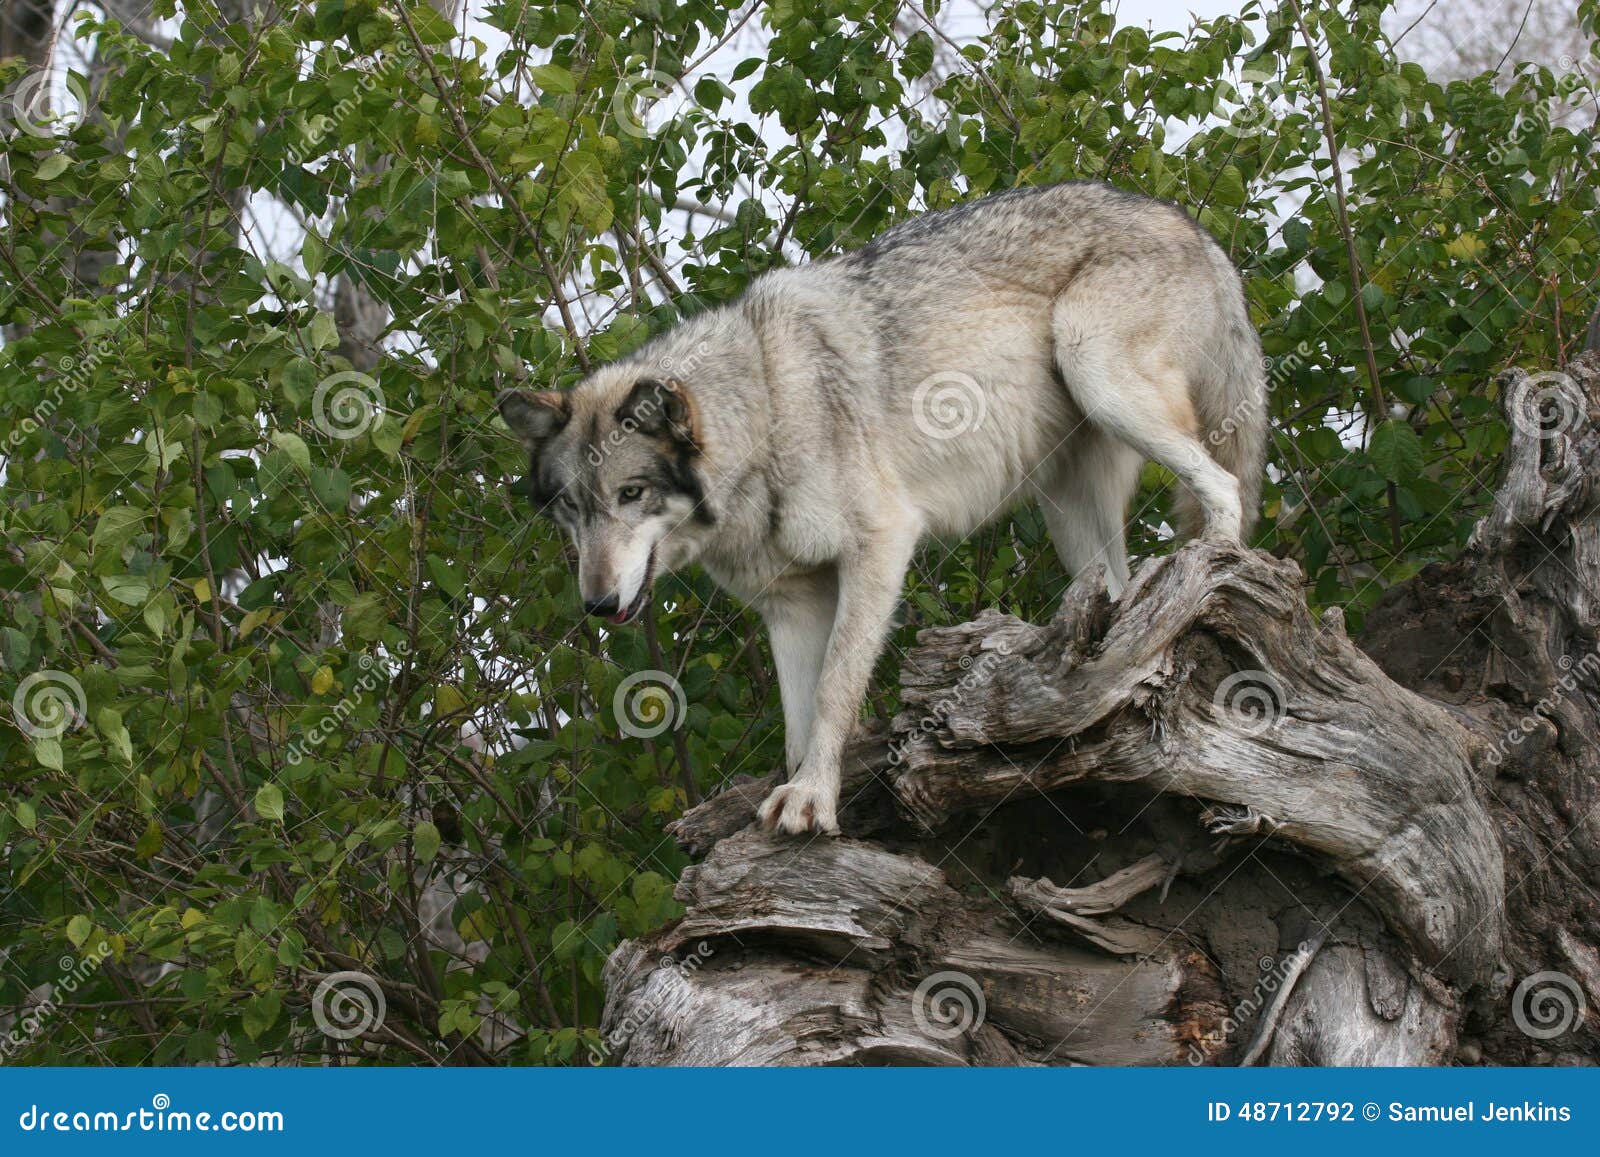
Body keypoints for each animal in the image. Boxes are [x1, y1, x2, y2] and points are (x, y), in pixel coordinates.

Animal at [499, 181, 1267, 836]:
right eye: (572, 509)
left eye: (631, 494)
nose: (597, 604)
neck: (766, 415)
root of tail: (1189, 224)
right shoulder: (791, 606)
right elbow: (797, 720)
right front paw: (798, 793)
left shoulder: (880, 546)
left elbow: (837, 688)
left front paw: (813, 800)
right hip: (1069, 507)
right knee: (1113, 586)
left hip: (1100, 378)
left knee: (1223, 488)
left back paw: (1212, 563)